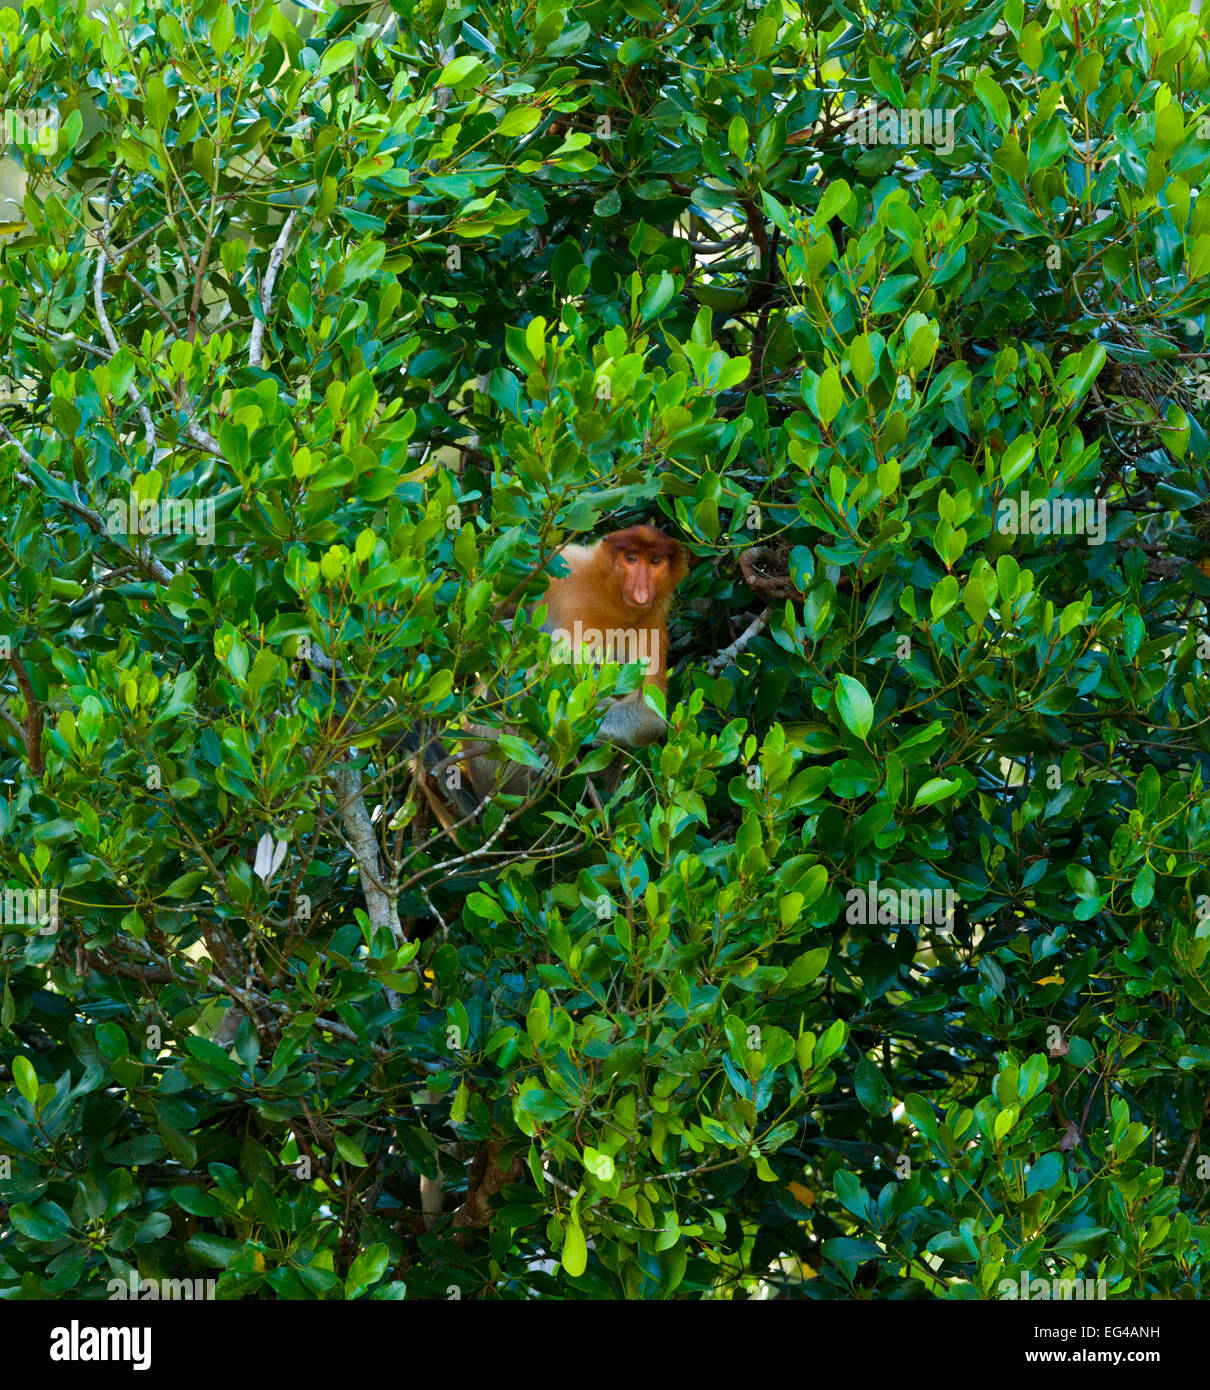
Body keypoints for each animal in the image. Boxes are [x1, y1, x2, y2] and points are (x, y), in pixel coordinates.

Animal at [461, 525, 689, 804]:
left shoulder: (654, 623)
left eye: (656, 561)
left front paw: (559, 733)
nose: (641, 593)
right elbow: (481, 615)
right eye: (631, 558)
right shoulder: (567, 563)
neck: (610, 598)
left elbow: (647, 716)